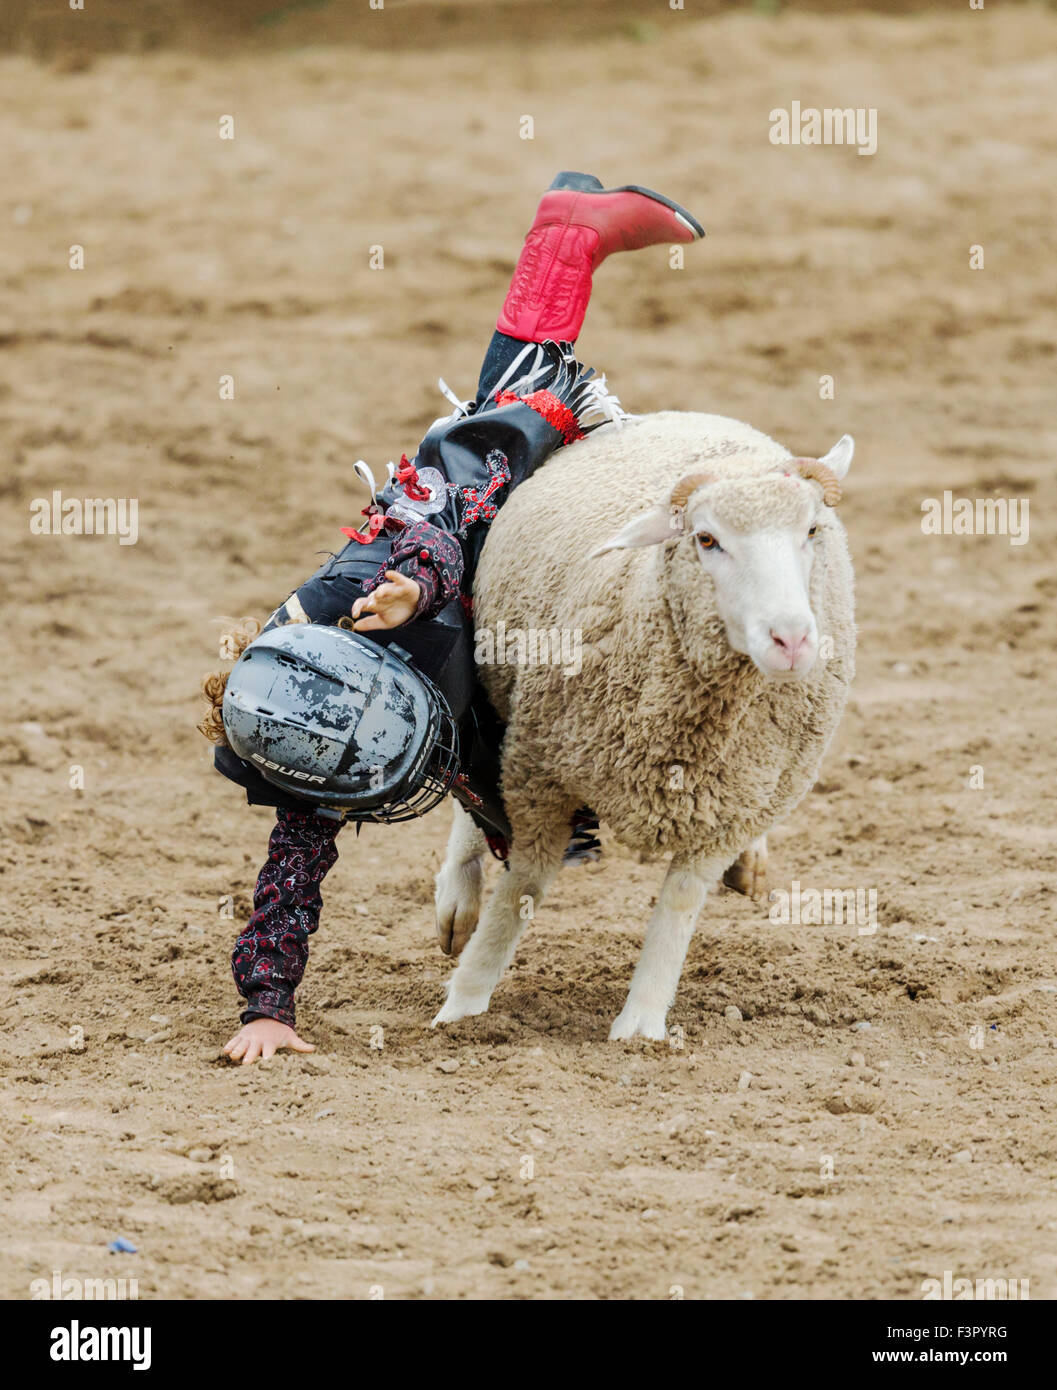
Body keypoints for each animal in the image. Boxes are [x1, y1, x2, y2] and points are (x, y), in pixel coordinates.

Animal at [432, 411, 856, 1041]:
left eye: (811, 531)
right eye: (706, 539)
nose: (792, 640)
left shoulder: (731, 808)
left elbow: (679, 902)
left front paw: (641, 1023)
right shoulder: (540, 771)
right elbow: (522, 887)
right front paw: (463, 1004)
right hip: (499, 684)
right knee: (474, 781)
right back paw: (458, 901)